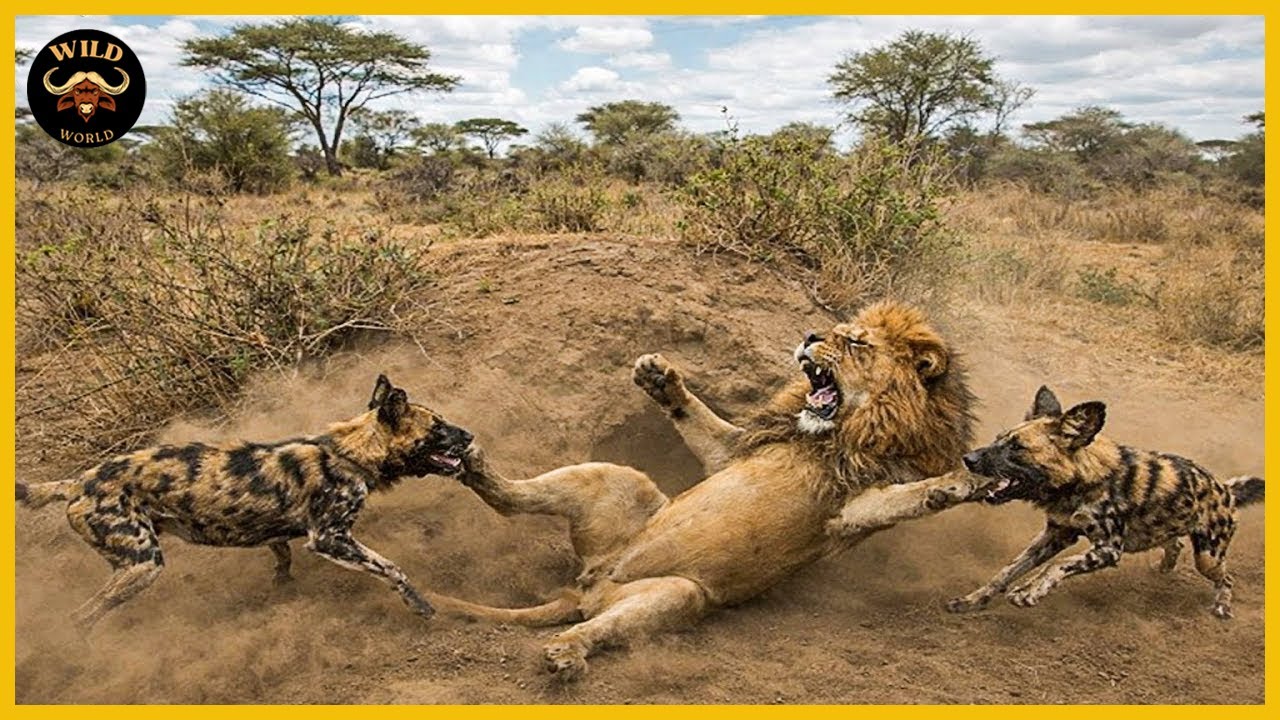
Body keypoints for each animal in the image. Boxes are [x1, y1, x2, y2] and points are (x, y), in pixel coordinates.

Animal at [428, 301, 983, 679]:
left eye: (857, 343)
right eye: (835, 333)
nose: (809, 334)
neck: (831, 435)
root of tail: (589, 583)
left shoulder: (853, 513)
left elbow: (907, 498)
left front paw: (961, 480)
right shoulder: (733, 453)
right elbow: (700, 420)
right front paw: (659, 378)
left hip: (677, 593)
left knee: (596, 624)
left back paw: (567, 651)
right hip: (616, 480)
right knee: (511, 499)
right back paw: (473, 464)